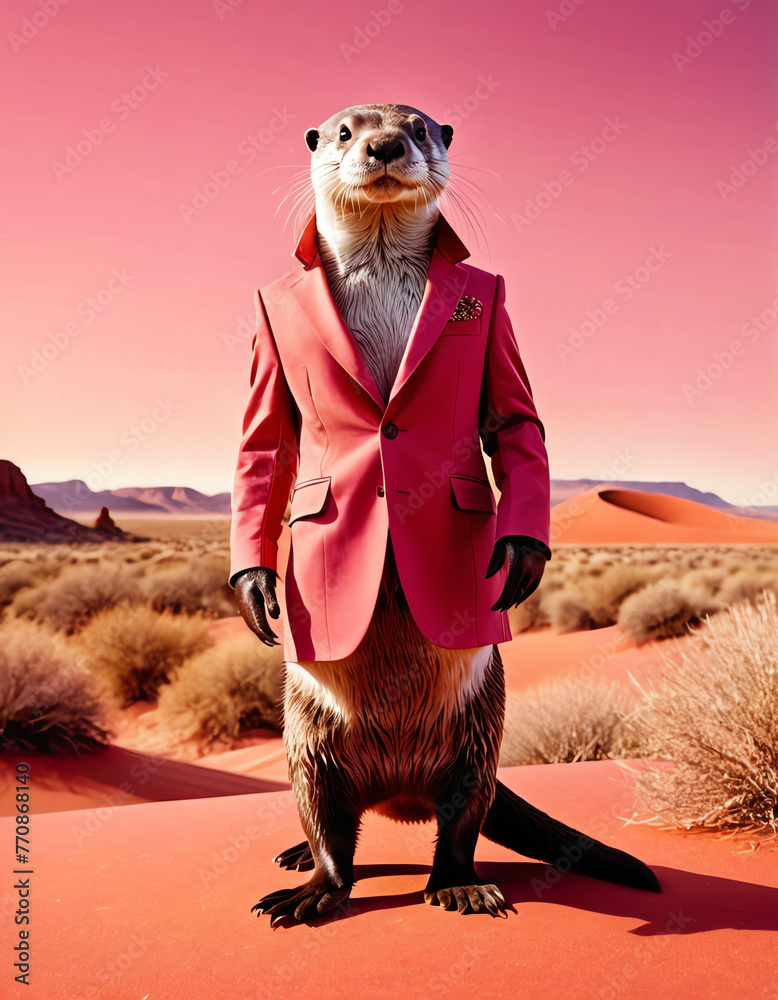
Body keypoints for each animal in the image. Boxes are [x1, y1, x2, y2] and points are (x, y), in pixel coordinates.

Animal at [231, 103, 660, 924]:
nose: (383, 144)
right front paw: (254, 588)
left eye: (419, 127)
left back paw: (460, 886)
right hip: (306, 732)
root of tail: (396, 790)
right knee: (330, 826)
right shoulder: (267, 341)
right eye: (343, 131)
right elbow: (262, 445)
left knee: (459, 819)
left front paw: (522, 555)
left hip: (478, 725)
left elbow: (519, 425)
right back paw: (306, 883)